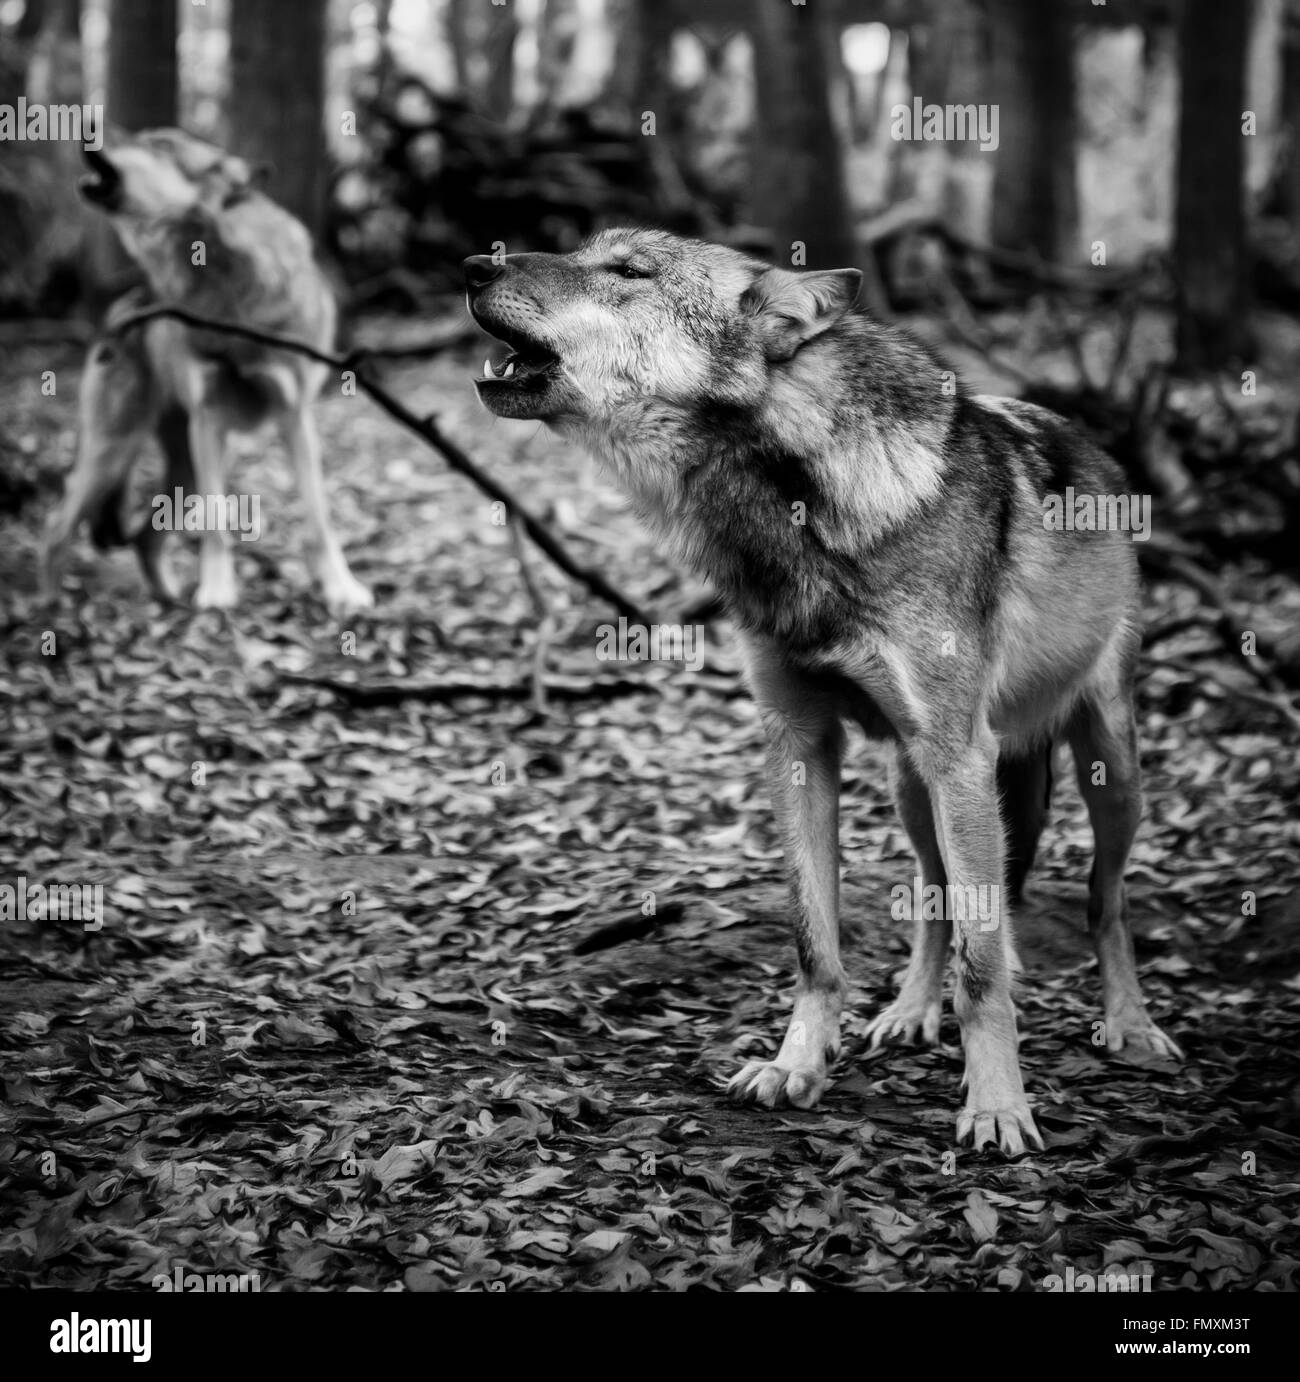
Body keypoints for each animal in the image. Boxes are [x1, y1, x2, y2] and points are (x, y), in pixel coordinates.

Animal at [39, 128, 371, 614]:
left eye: (158, 143)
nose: (91, 128)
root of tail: (120, 309)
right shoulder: (209, 418)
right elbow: (217, 520)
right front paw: (216, 595)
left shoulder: (295, 417)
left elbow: (319, 519)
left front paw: (341, 589)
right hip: (116, 452)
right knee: (57, 528)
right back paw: (47, 609)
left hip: (181, 472)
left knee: (143, 540)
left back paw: (169, 601)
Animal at [464, 228, 1181, 1153]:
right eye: (589, 250)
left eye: (627, 271)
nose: (473, 266)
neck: (796, 503)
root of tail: (1092, 443)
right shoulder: (802, 744)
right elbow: (817, 941)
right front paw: (797, 1064)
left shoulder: (958, 755)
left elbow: (986, 966)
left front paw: (996, 1106)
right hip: (915, 787)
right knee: (936, 898)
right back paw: (909, 1013)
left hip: (1099, 767)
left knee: (1104, 900)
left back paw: (1129, 1023)